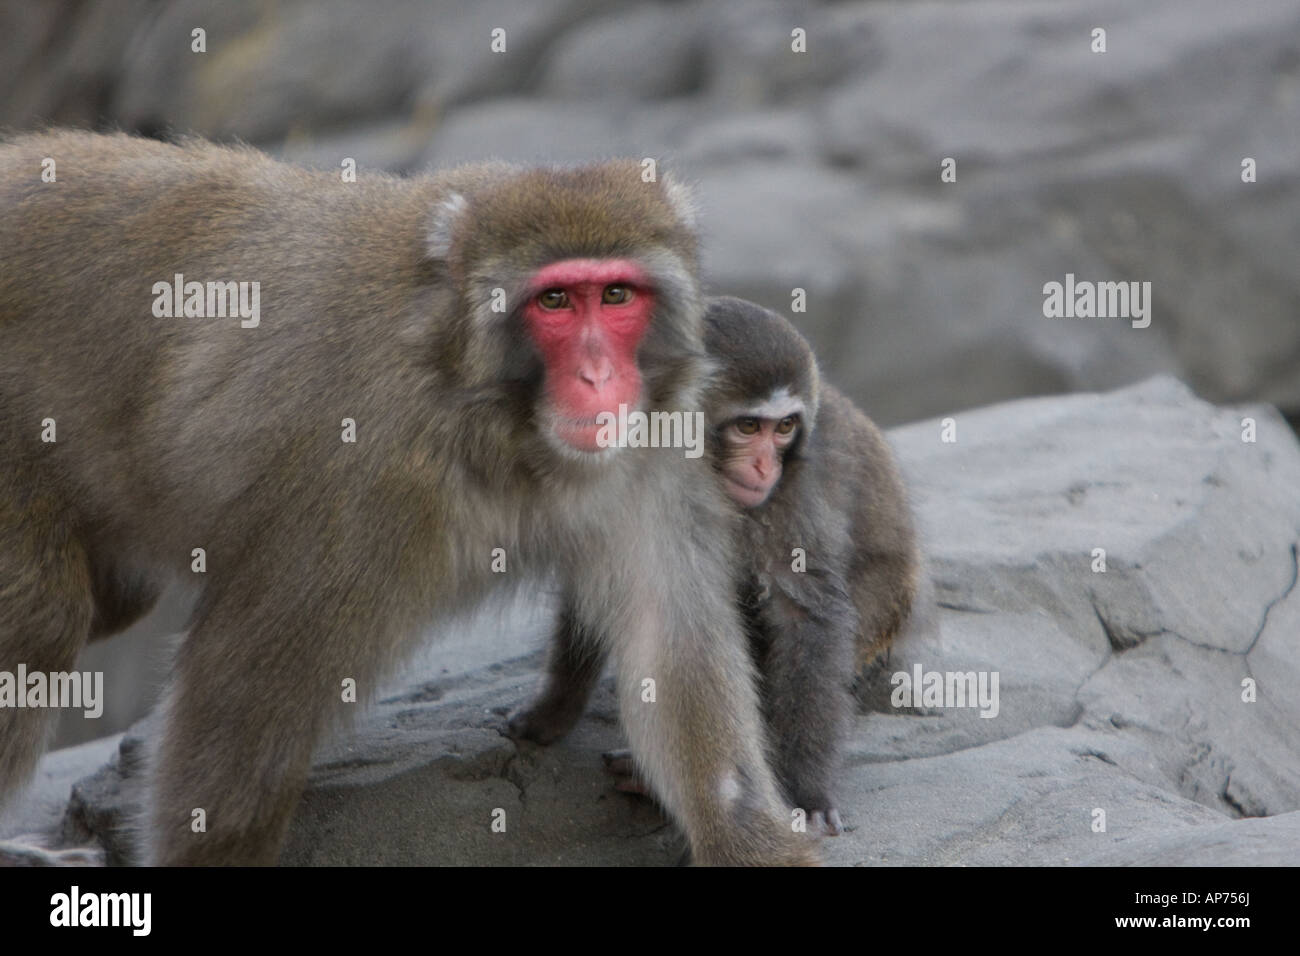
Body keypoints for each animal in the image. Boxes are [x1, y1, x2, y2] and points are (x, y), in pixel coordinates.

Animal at [0, 131, 818, 866]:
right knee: (42, 619)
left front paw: (750, 837)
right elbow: (239, 710)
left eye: (616, 295)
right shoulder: (360, 478)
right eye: (555, 300)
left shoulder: (657, 446)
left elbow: (668, 653)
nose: (597, 379)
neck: (484, 405)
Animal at [511, 296, 919, 836]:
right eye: (748, 427)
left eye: (784, 428)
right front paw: (555, 709)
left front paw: (805, 791)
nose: (766, 466)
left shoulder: (793, 493)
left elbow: (805, 616)